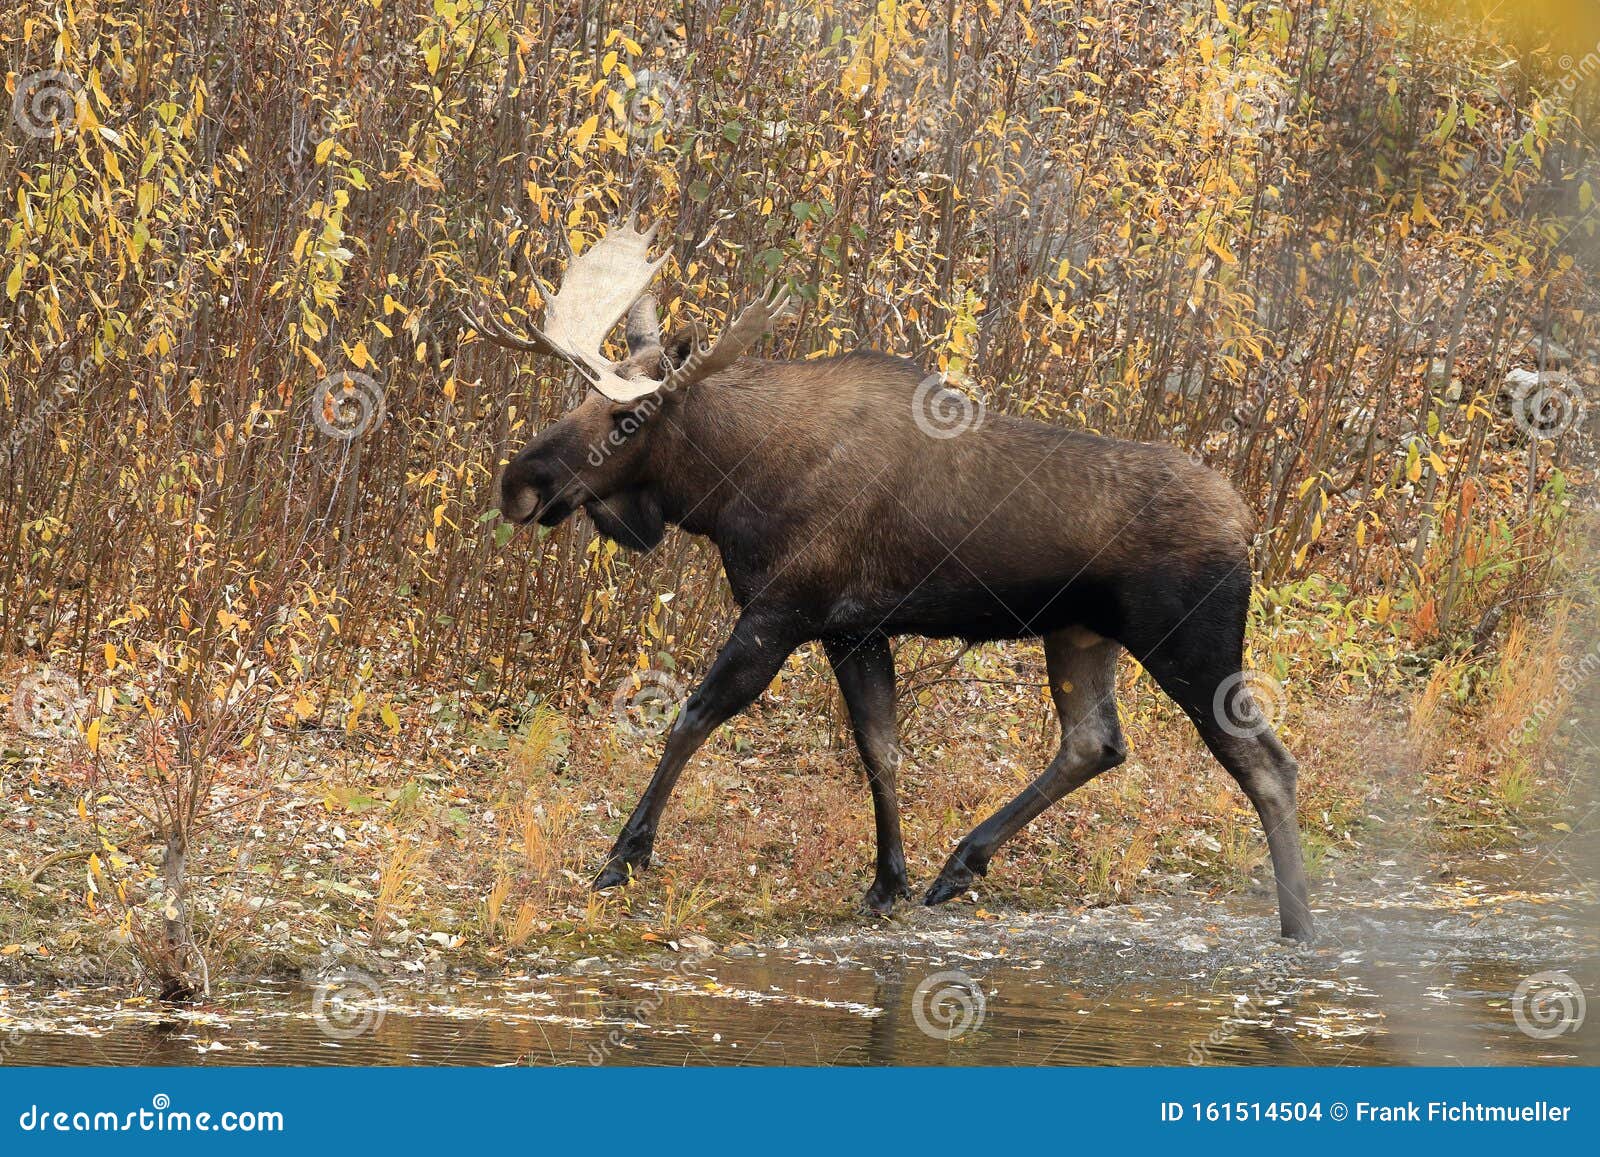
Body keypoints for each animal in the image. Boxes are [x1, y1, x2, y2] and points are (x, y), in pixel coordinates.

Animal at [467, 217, 1315, 942]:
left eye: (628, 420)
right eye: (582, 396)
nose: (520, 482)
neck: (728, 488)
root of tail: (1248, 523)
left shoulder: (783, 609)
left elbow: (693, 716)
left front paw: (624, 856)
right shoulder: (854, 626)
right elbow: (881, 748)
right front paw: (888, 881)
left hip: (1189, 638)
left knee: (1268, 764)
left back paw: (1299, 927)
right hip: (1080, 632)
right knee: (1095, 740)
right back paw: (960, 864)